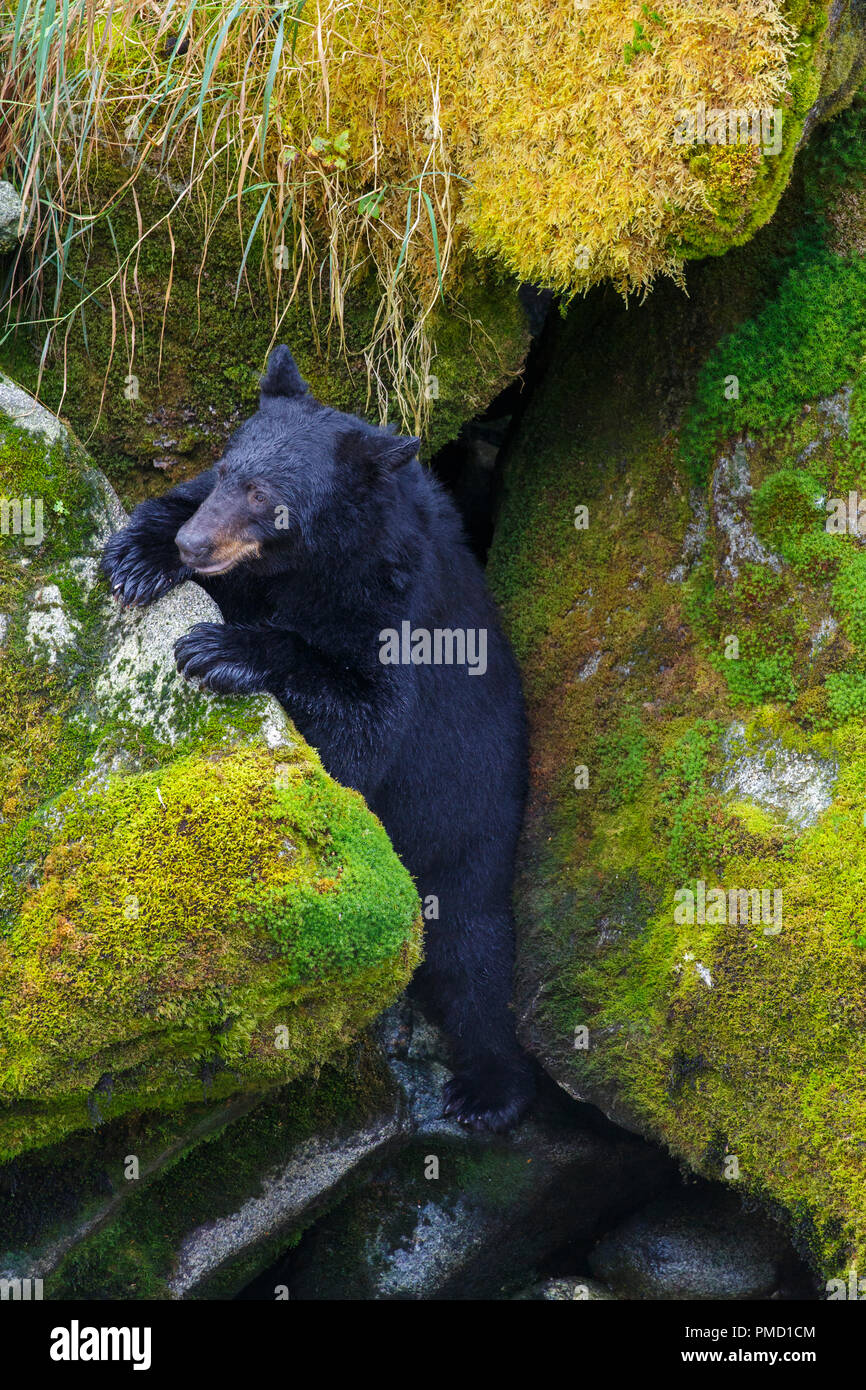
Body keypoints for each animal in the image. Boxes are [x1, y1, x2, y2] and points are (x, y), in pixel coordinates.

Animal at [101, 345, 535, 1131]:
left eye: (265, 496)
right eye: (227, 464)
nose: (194, 545)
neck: (308, 565)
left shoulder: (391, 605)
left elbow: (364, 724)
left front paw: (222, 647)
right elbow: (171, 501)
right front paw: (140, 556)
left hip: (470, 842)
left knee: (474, 957)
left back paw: (489, 1090)